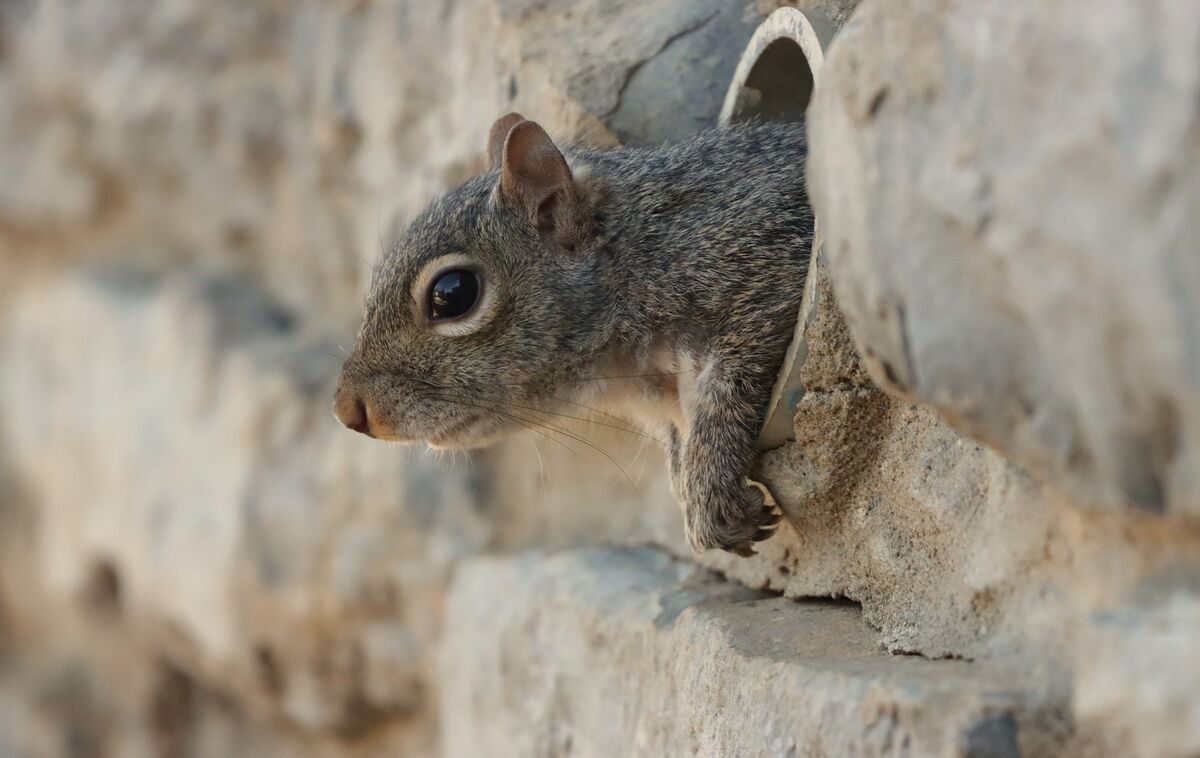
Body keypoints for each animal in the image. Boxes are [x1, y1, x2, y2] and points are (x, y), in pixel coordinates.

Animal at [334, 113, 813, 555]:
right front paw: (687, 487)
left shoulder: (763, 260)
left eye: (452, 294)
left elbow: (727, 387)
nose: (348, 412)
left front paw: (711, 494)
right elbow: (680, 440)